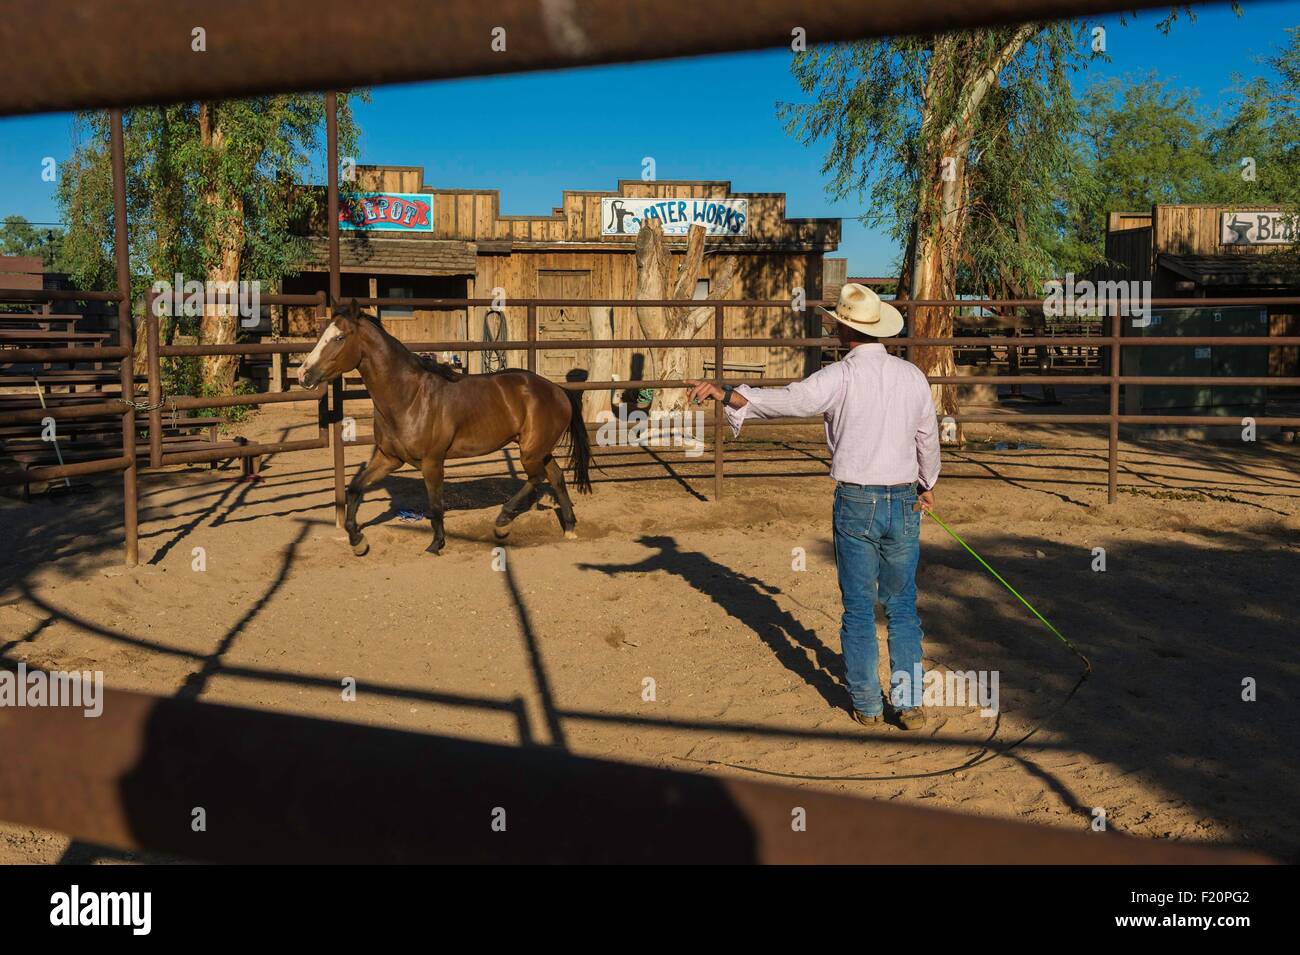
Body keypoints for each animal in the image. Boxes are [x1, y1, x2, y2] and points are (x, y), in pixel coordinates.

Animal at [298, 300, 592, 556]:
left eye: (339, 338)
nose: (304, 375)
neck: (409, 397)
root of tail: (558, 390)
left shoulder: (432, 462)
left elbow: (435, 505)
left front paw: (435, 544)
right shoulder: (388, 458)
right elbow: (355, 489)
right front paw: (358, 541)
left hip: (530, 451)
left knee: (537, 478)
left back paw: (502, 522)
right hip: (539, 449)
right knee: (555, 476)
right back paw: (569, 527)